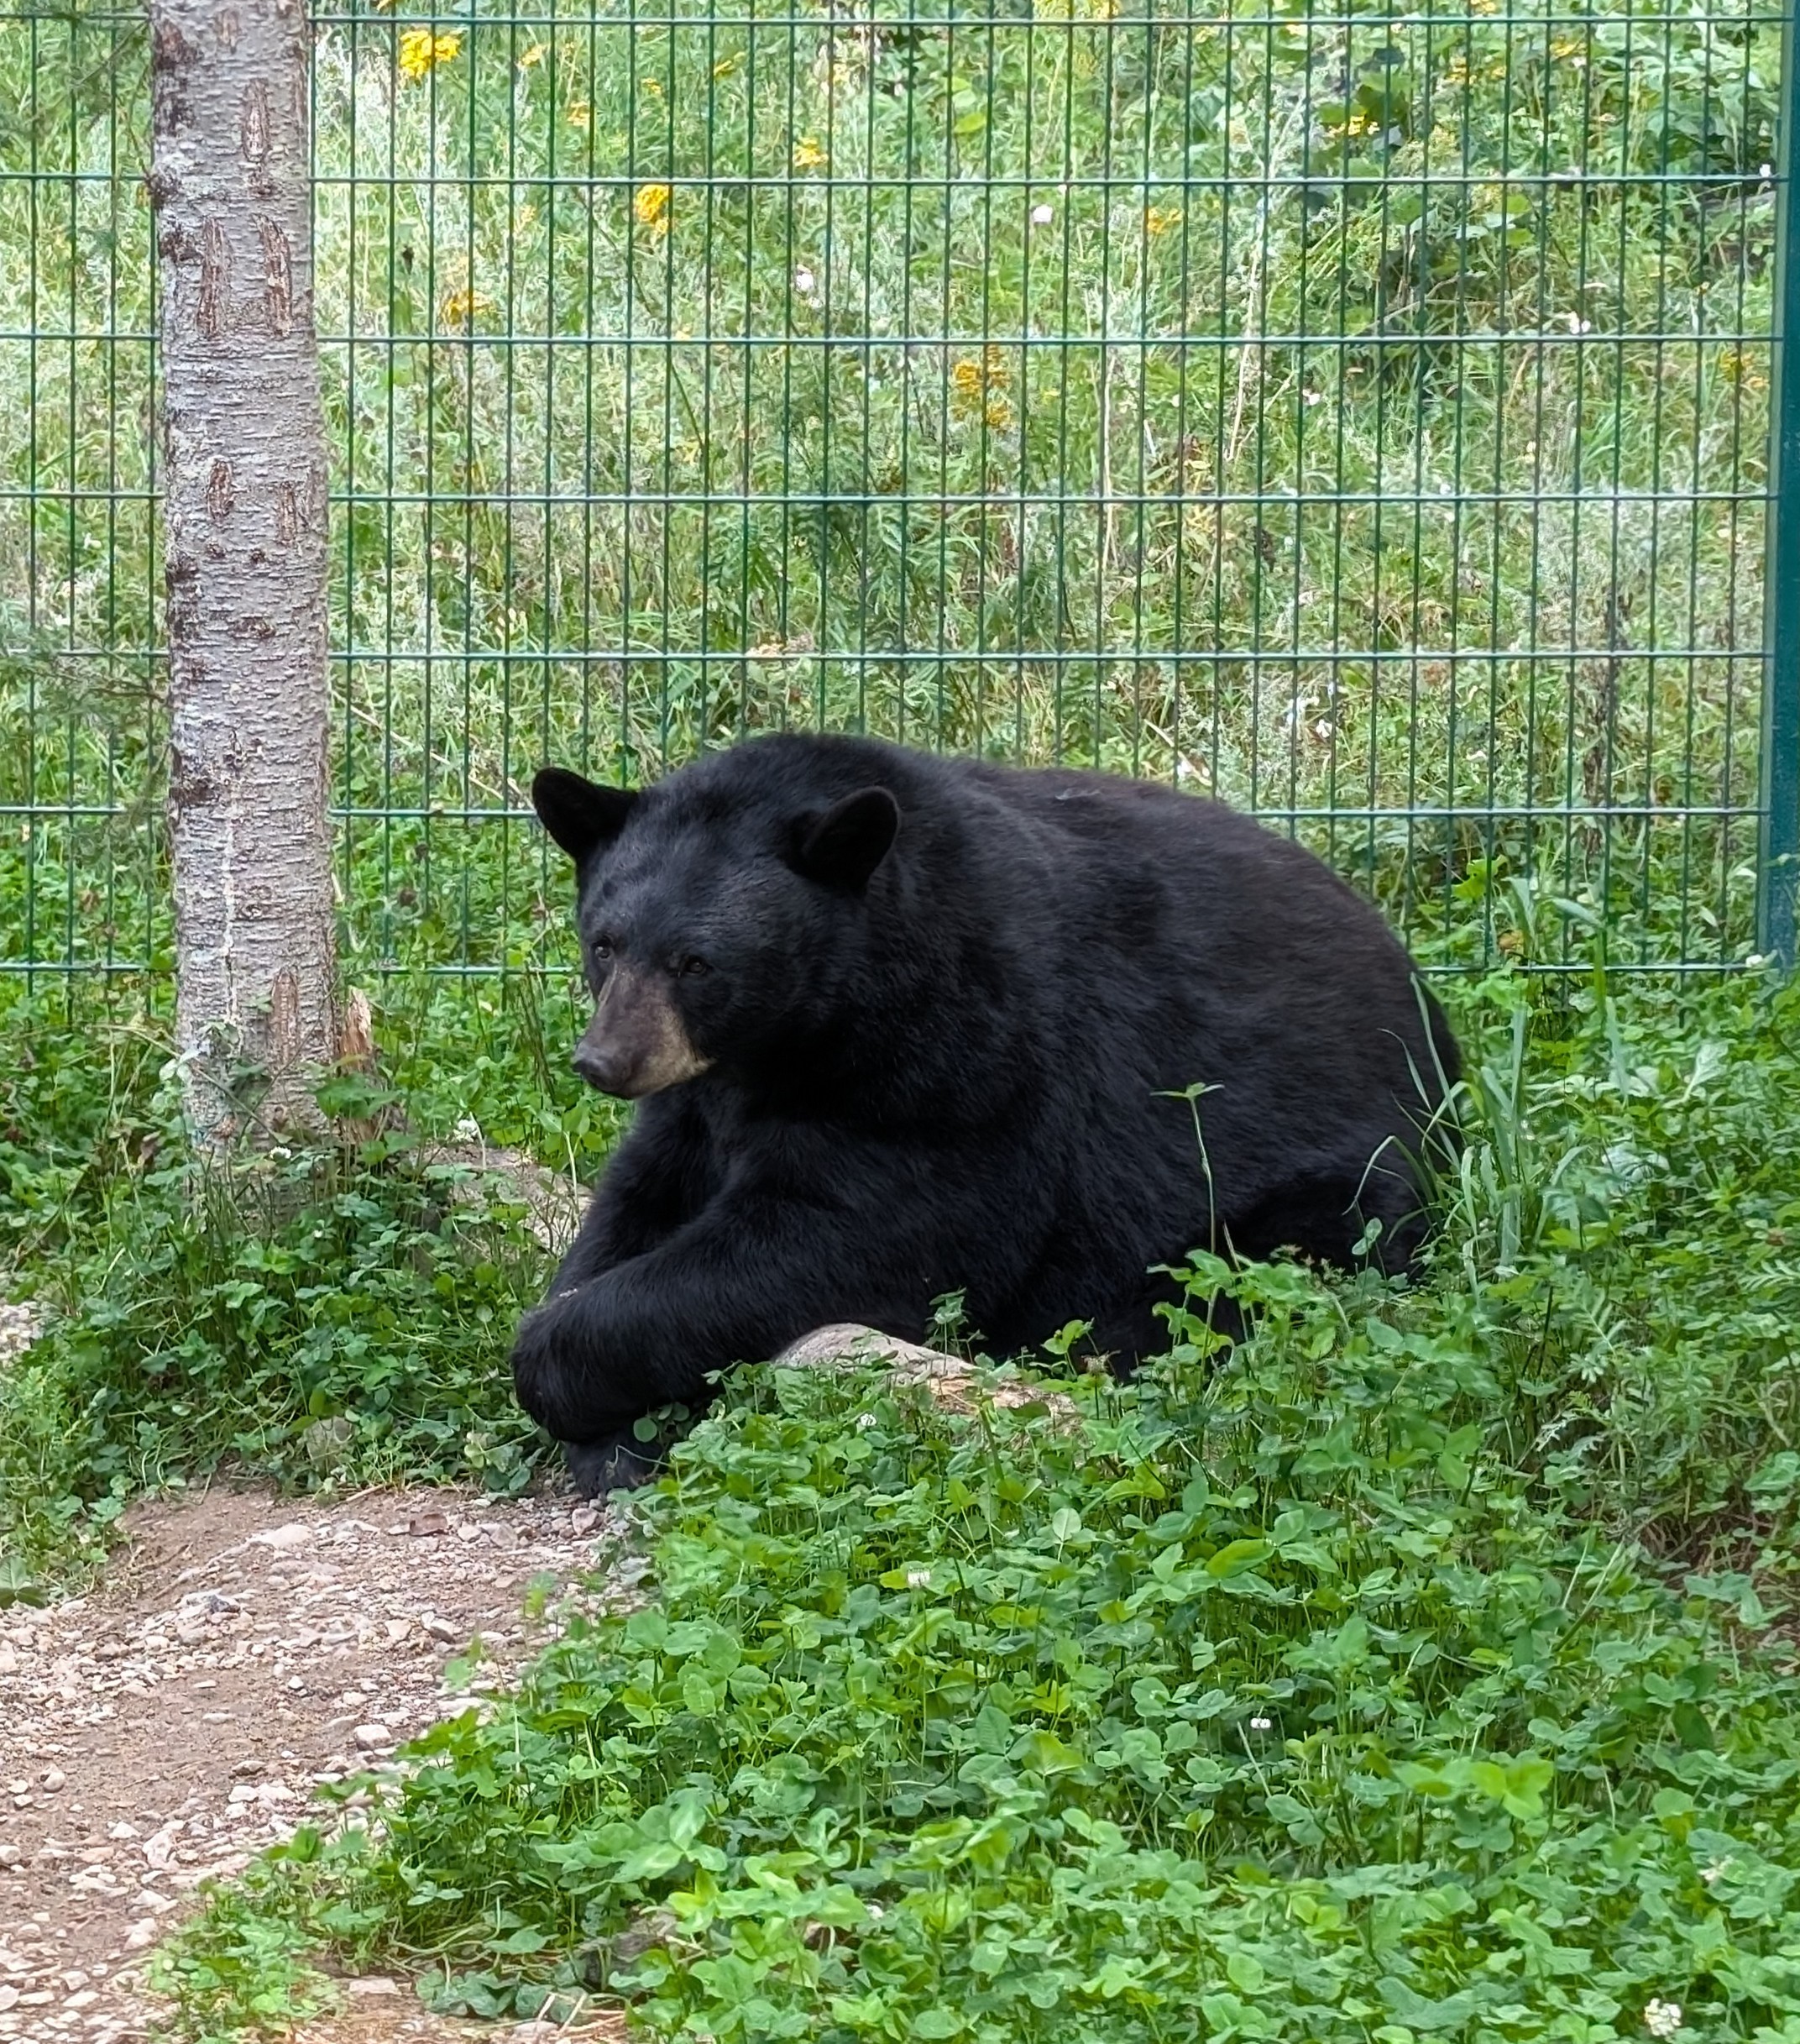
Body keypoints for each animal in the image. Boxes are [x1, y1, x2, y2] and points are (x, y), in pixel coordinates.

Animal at [513, 733, 1461, 1493]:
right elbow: (639, 1196)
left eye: (696, 963)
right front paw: (604, 1407)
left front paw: (559, 1367)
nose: (605, 1061)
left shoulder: (960, 1058)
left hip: (1332, 1175)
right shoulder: (699, 1101)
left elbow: (851, 1236)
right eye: (605, 943)